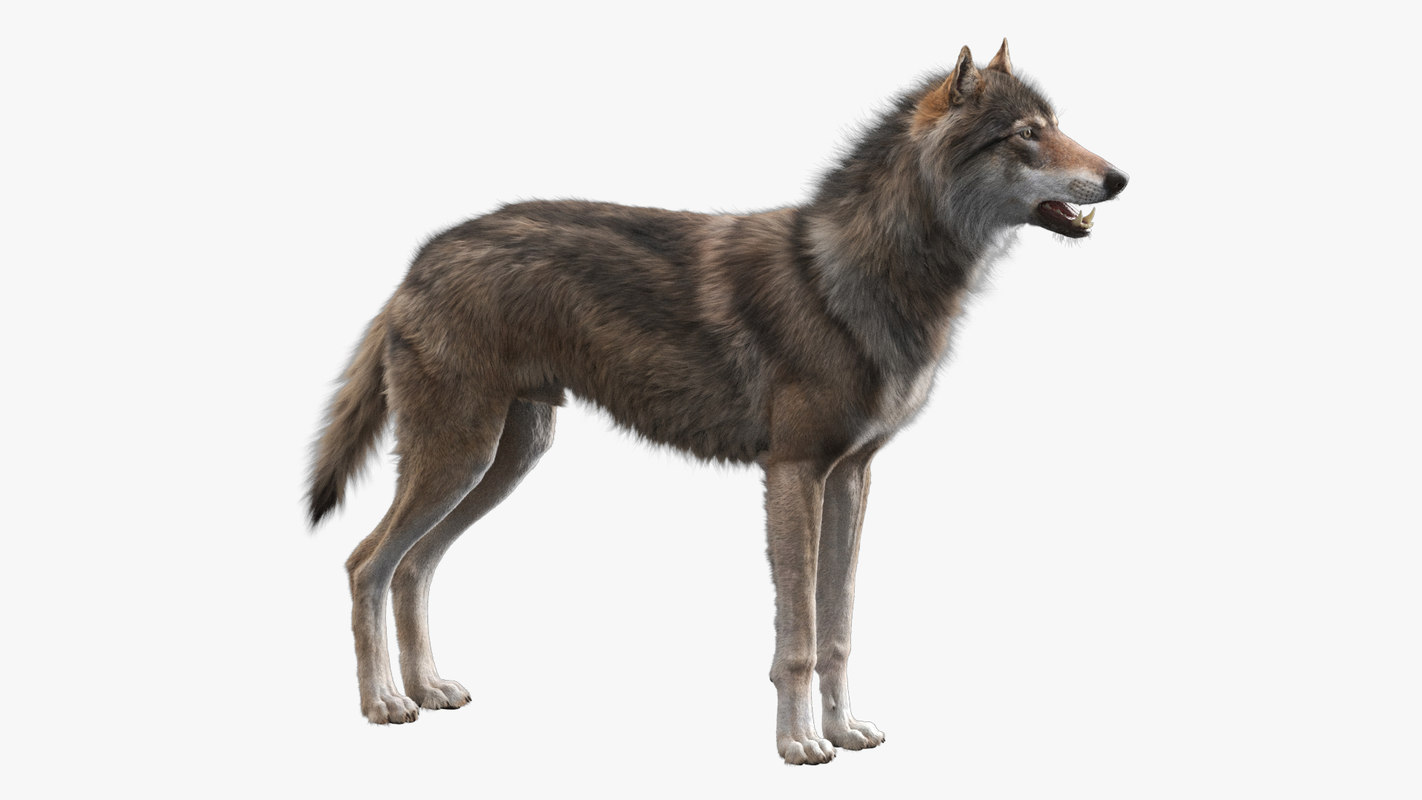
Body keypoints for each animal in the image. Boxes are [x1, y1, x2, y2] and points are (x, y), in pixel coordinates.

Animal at [307, 40, 1127, 764]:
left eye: (1053, 123)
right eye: (1026, 134)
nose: (1120, 178)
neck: (860, 275)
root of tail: (419, 261)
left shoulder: (851, 477)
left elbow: (838, 628)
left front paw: (845, 730)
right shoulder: (794, 475)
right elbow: (798, 639)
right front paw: (799, 745)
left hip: (501, 462)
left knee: (413, 568)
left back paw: (430, 689)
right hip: (462, 458)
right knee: (365, 564)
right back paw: (385, 703)